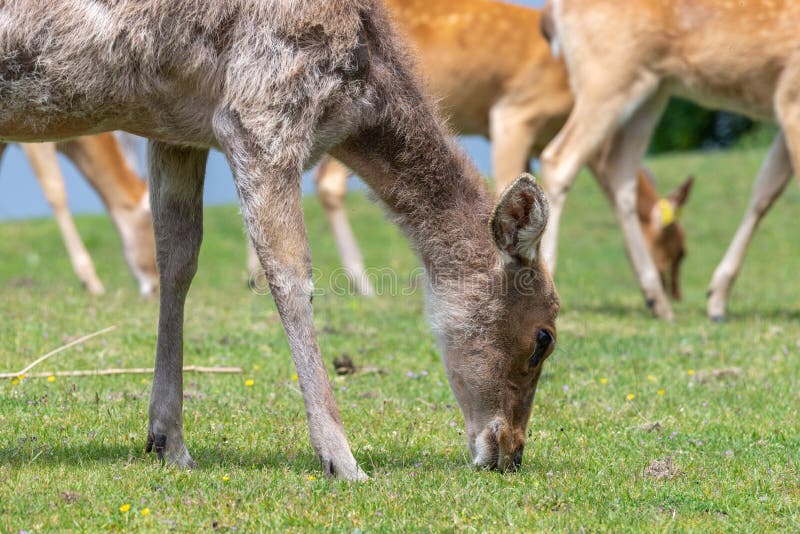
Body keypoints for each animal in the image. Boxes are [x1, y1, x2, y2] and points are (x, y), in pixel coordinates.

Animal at [540, 0, 800, 321]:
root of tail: (552, 8)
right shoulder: (792, 95)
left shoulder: (784, 101)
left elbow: (765, 191)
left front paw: (717, 300)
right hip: (608, 70)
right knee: (560, 158)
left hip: (653, 87)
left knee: (618, 169)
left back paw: (657, 301)